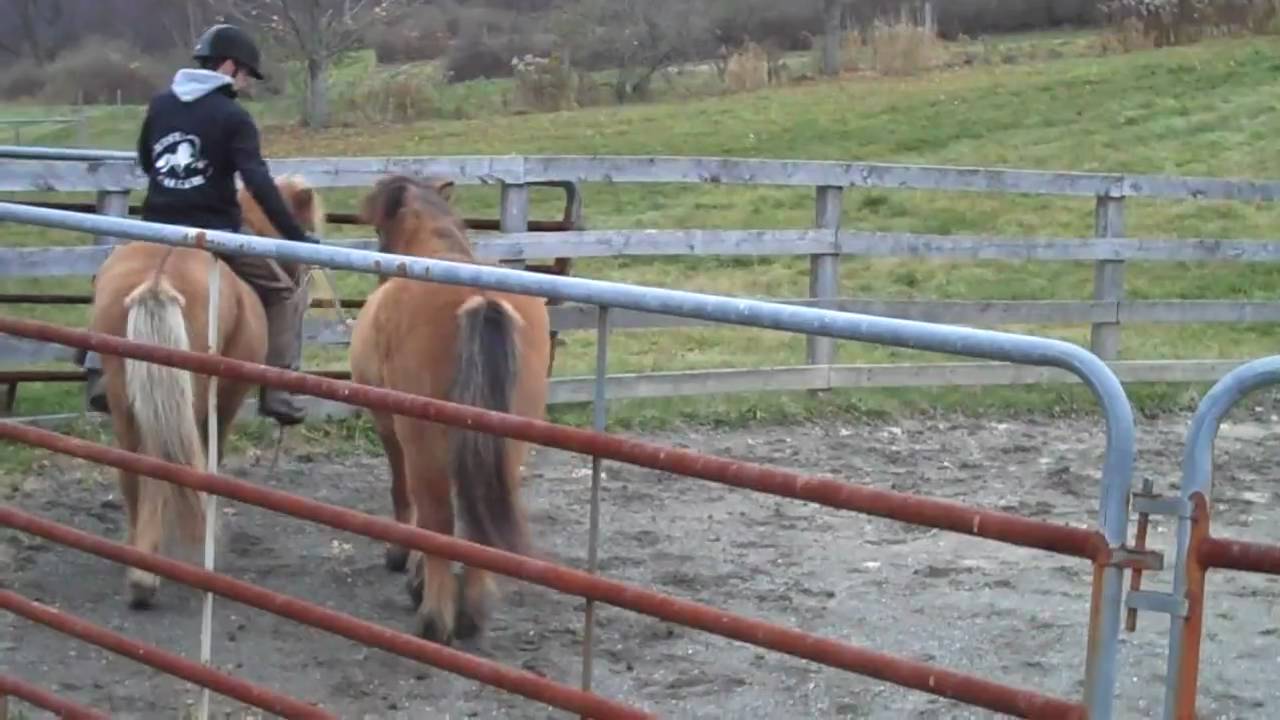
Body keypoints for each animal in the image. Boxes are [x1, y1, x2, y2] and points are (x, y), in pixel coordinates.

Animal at [87, 175, 325, 608]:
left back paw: (137, 555)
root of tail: (157, 281)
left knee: (134, 466)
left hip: (125, 399)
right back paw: (147, 577)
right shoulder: (226, 401)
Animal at [348, 174, 551, 645]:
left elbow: (405, 496)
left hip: (424, 441)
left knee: (438, 519)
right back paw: (471, 615)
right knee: (477, 527)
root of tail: (481, 300)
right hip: (507, 446)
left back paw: (435, 620)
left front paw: (406, 565)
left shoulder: (391, 427)